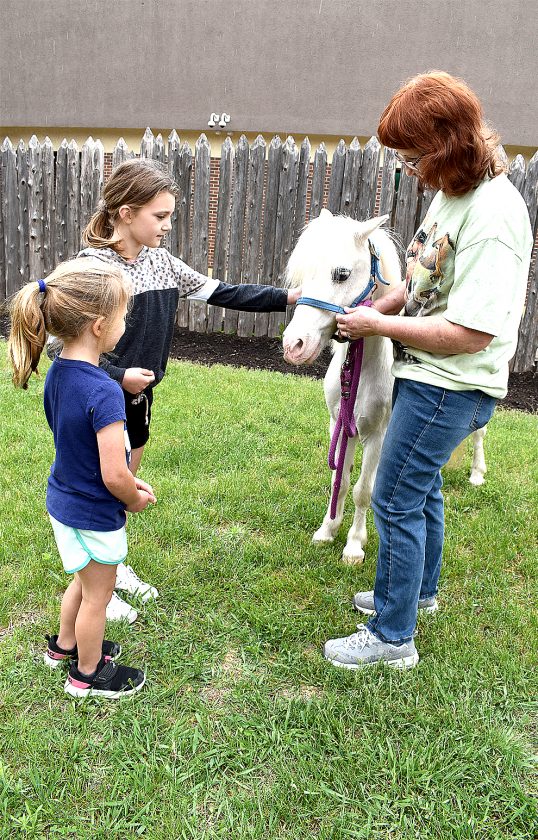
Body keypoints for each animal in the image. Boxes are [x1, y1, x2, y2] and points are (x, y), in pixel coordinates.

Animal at [282, 209, 488, 566]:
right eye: (303, 273)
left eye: (341, 274)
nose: (294, 345)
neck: (362, 372)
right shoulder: (341, 426)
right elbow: (341, 481)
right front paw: (327, 530)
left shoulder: (378, 436)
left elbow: (364, 491)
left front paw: (354, 545)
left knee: (478, 434)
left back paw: (477, 474)